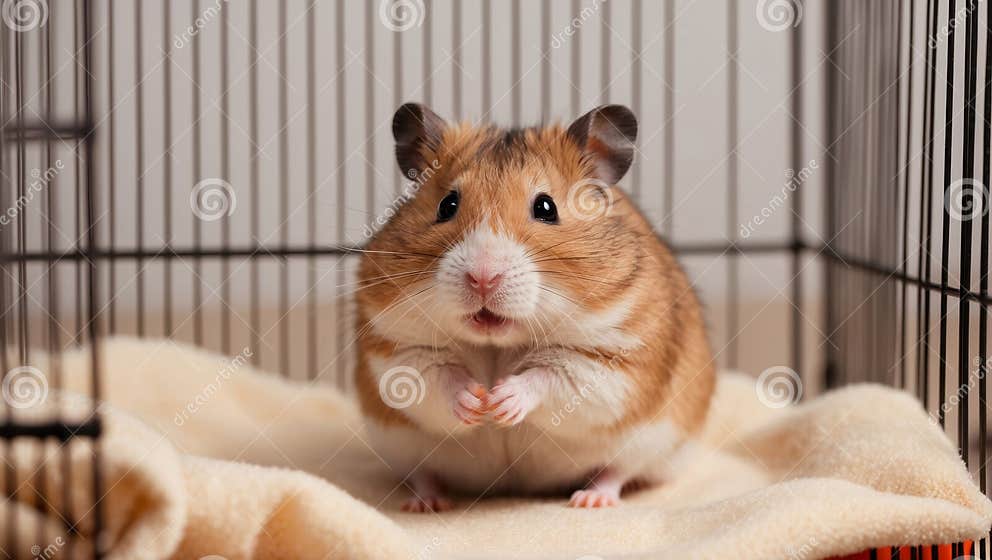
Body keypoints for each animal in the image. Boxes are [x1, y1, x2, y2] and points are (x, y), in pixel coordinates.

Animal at [354, 103, 716, 512]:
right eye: (447, 205)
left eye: (546, 207)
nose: (483, 277)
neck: (498, 343)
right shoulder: (397, 348)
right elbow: (435, 377)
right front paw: (478, 403)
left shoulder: (614, 361)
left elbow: (551, 376)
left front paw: (500, 401)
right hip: (401, 448)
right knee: (422, 473)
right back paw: (426, 503)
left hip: (651, 447)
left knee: (616, 472)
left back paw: (590, 501)